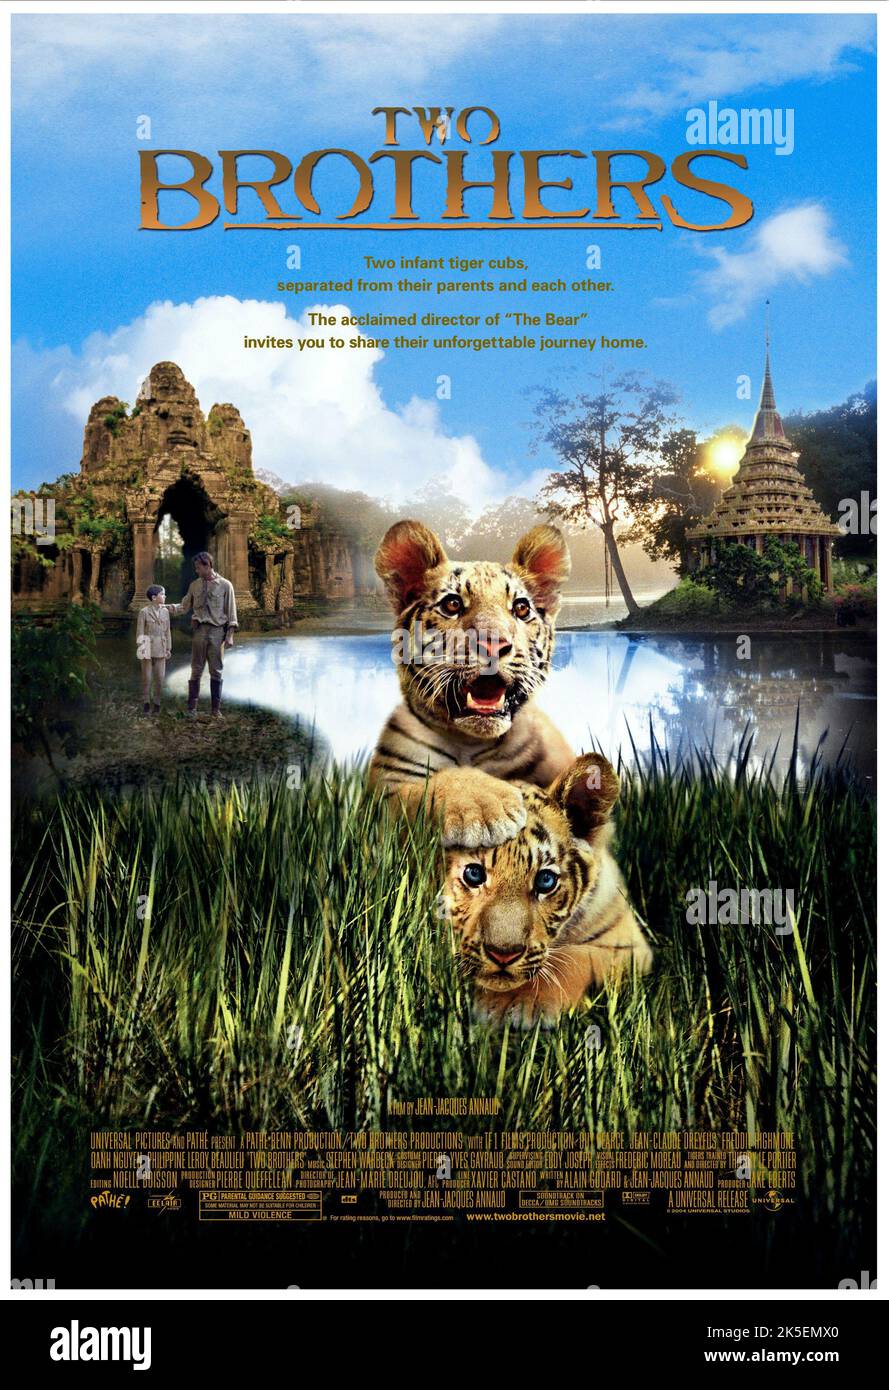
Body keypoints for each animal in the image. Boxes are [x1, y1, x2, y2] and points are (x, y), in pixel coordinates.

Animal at [369, 518, 574, 849]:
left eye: (521, 609)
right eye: (452, 604)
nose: (493, 643)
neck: (470, 741)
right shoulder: (384, 791)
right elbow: (427, 787)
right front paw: (487, 806)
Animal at [442, 752, 653, 1027]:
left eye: (545, 880)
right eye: (474, 874)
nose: (502, 955)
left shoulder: (631, 948)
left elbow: (575, 957)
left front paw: (512, 1003)